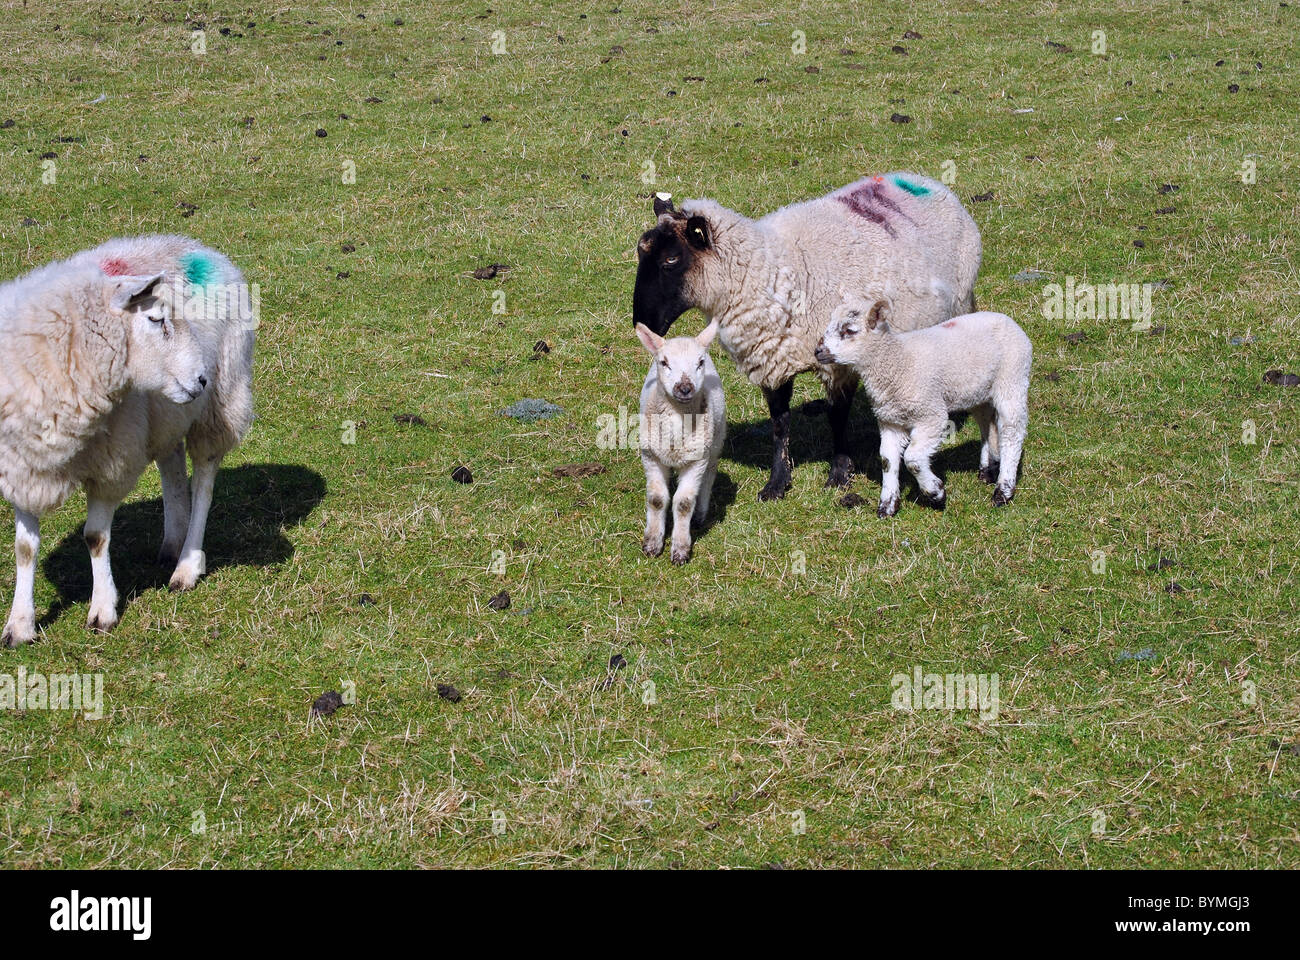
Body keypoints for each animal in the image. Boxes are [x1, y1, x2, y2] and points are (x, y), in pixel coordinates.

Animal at [0, 235, 255, 646]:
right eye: (156, 319)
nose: (201, 378)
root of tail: (197, 246)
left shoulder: (112, 461)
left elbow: (95, 537)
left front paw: (102, 609)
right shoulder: (21, 465)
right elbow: (24, 549)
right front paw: (19, 624)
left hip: (220, 402)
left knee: (203, 481)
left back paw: (187, 563)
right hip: (166, 413)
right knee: (172, 463)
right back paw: (172, 541)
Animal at [633, 174, 981, 501]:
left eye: (670, 260)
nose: (641, 322)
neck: (770, 272)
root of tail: (929, 182)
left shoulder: (837, 362)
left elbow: (837, 417)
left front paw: (839, 473)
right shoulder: (771, 358)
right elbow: (780, 424)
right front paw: (777, 482)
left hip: (958, 302)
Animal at [635, 318, 726, 565]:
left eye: (700, 362)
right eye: (664, 362)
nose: (684, 388)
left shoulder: (696, 460)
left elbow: (684, 503)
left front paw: (681, 549)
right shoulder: (650, 456)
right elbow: (657, 499)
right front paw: (652, 543)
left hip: (714, 443)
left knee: (710, 475)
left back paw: (700, 514)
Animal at [814, 293, 1031, 516]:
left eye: (849, 331)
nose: (818, 351)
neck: (897, 362)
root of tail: (1007, 319)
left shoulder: (931, 415)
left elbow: (913, 459)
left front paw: (936, 493)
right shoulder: (890, 420)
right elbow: (887, 460)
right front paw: (888, 505)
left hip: (1013, 378)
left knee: (1012, 431)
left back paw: (1003, 491)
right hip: (980, 392)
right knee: (988, 425)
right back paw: (988, 471)